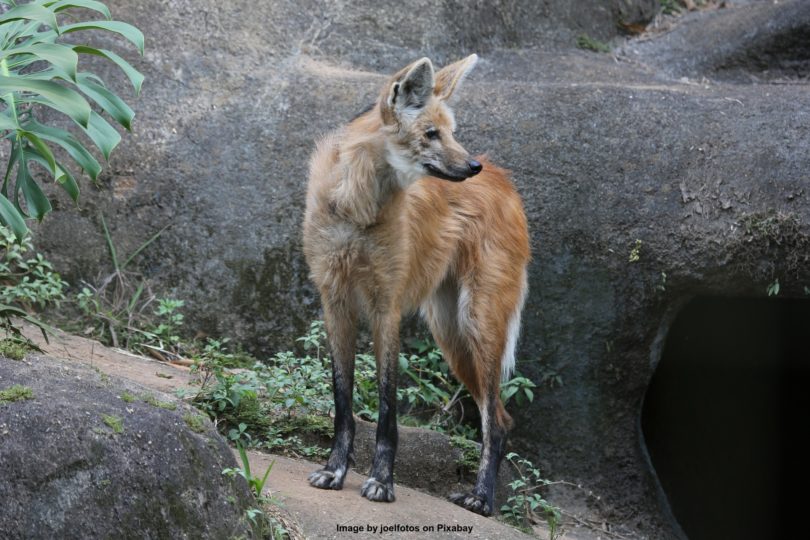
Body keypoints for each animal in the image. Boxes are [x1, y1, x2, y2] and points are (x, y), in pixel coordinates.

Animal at [302, 54, 530, 516]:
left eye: (452, 131)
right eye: (430, 133)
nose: (472, 166)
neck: (357, 208)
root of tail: (504, 179)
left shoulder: (385, 306)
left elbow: (387, 409)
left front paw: (380, 482)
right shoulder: (335, 300)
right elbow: (343, 400)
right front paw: (334, 471)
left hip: (477, 323)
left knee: (497, 420)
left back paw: (481, 498)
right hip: (450, 334)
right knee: (497, 414)